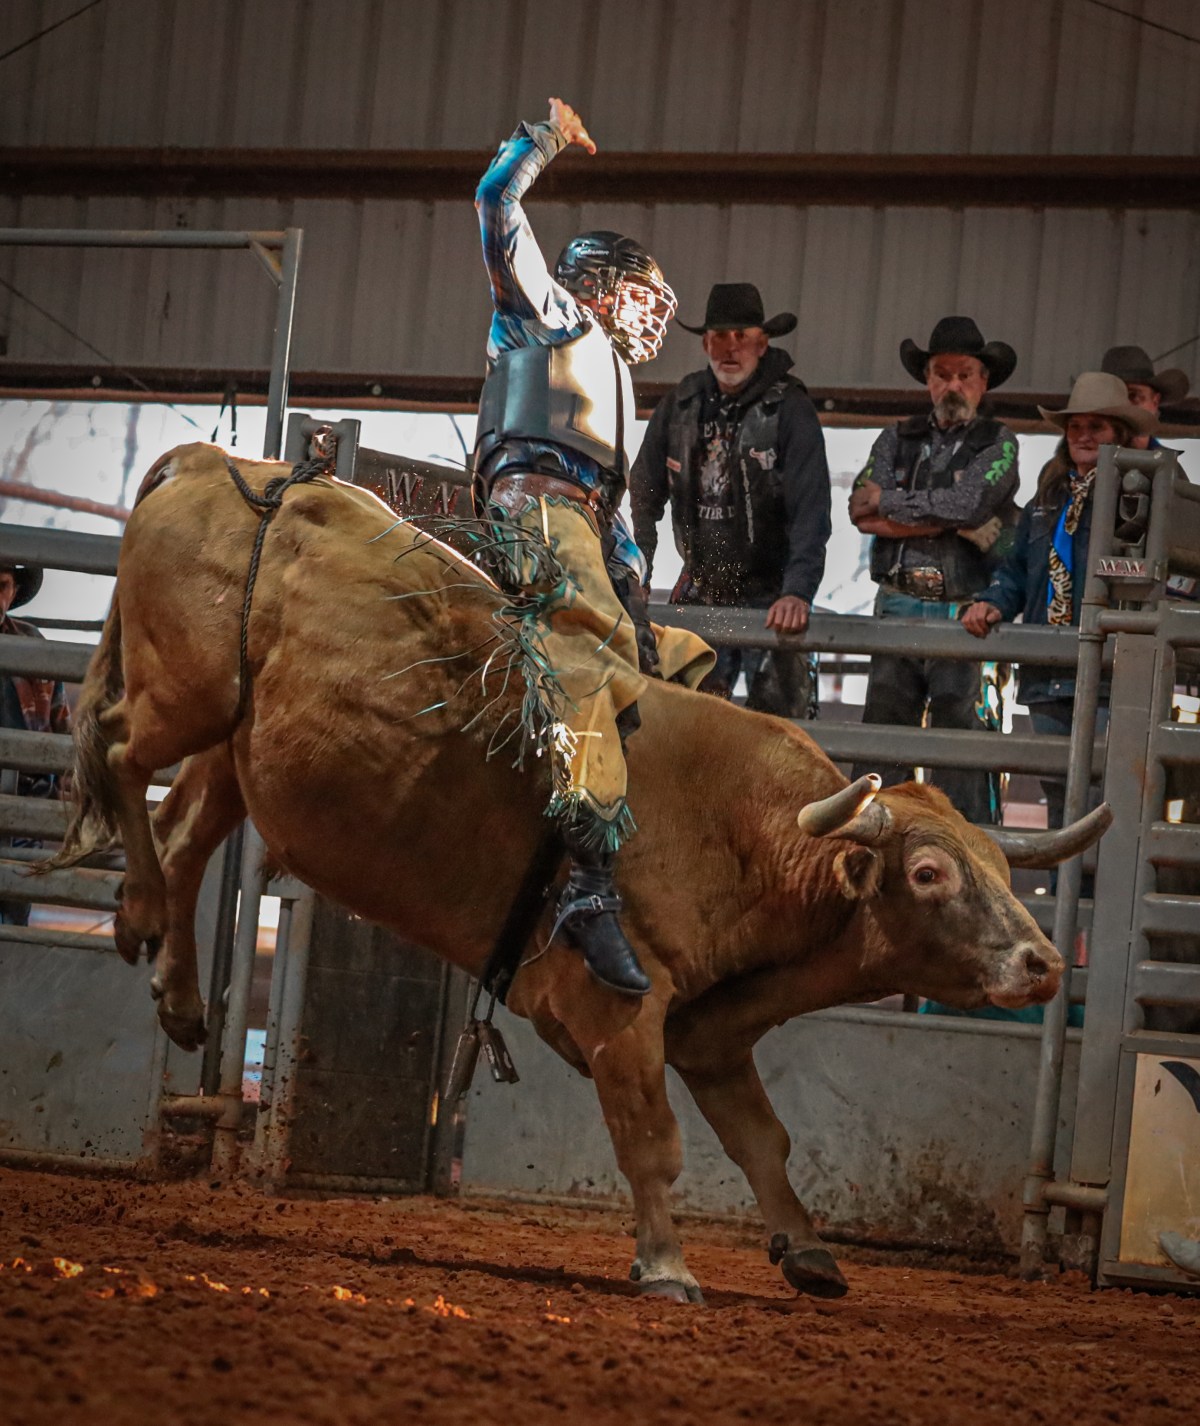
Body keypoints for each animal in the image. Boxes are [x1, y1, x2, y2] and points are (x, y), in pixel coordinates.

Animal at [51, 443, 1109, 1304]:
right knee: (120, 755)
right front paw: (668, 1266)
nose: (1041, 964)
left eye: (996, 865)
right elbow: (654, 1143)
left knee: (185, 832)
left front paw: (807, 1251)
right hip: (183, 696)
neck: (743, 834)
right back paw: (138, 911)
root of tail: (213, 463)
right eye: (928, 873)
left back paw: (173, 980)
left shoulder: (712, 1032)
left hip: (235, 741)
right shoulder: (618, 1014)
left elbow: (763, 1141)